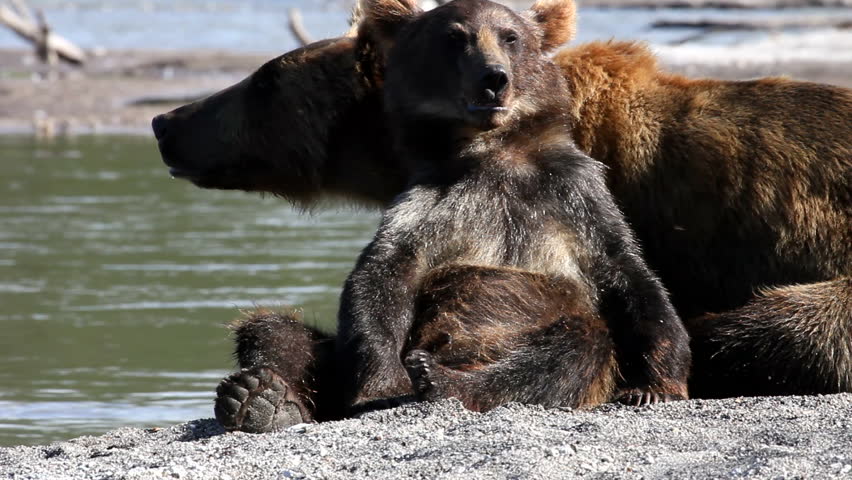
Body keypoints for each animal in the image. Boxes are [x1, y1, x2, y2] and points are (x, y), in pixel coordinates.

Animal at [152, 0, 852, 432]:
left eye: (264, 80)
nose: (166, 121)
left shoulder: (599, 200)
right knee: (276, 327)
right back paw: (264, 395)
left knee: (774, 327)